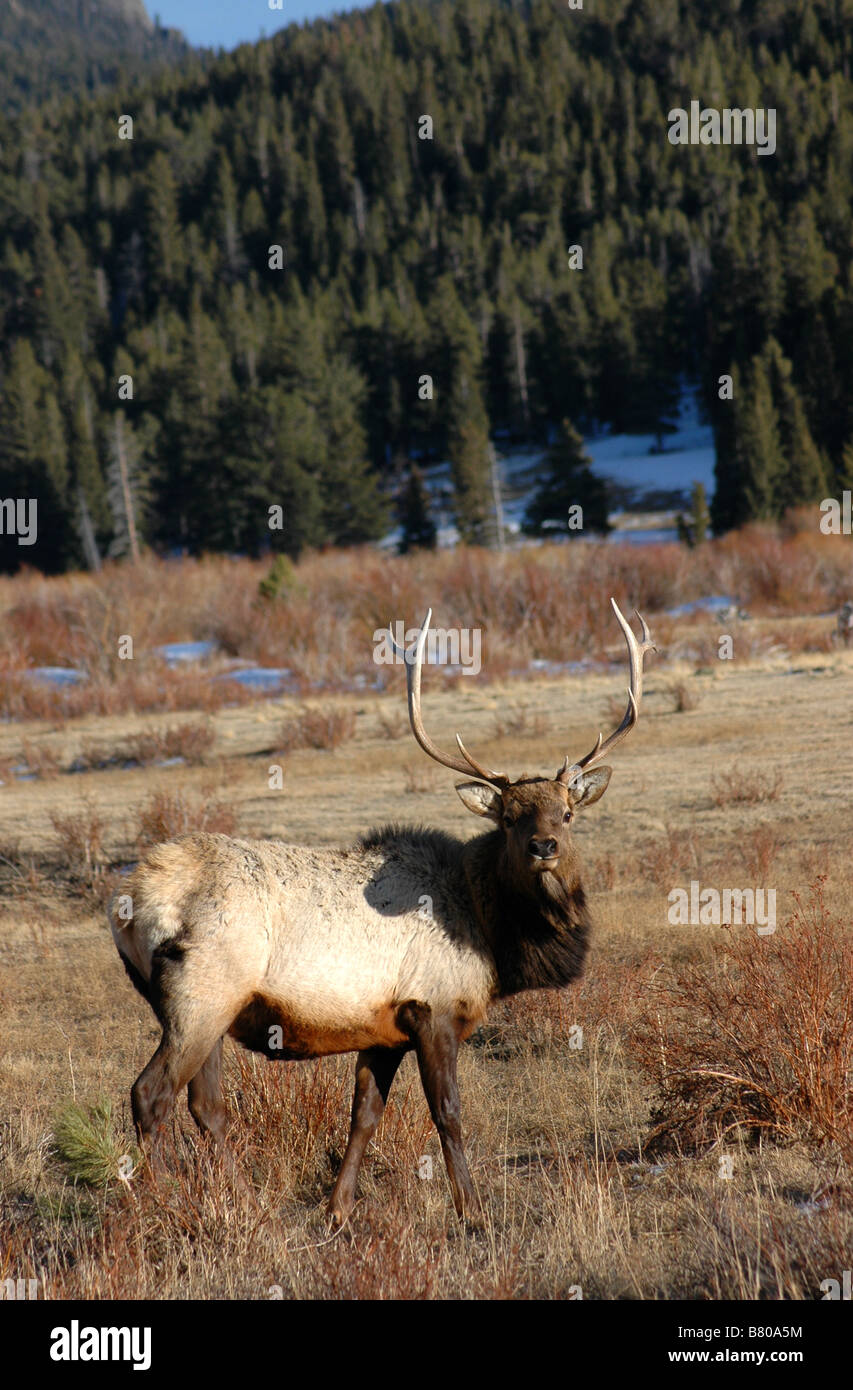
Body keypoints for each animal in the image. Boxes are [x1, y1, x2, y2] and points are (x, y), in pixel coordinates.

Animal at [110, 598, 654, 1227]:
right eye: (510, 818)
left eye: (567, 813)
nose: (545, 847)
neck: (492, 937)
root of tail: (127, 905)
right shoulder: (432, 1007)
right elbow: (448, 1114)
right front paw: (472, 1210)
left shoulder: (383, 1029)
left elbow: (364, 1118)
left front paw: (338, 1208)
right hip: (200, 993)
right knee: (150, 1094)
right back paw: (163, 1200)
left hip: (213, 1008)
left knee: (206, 1104)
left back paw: (243, 1203)